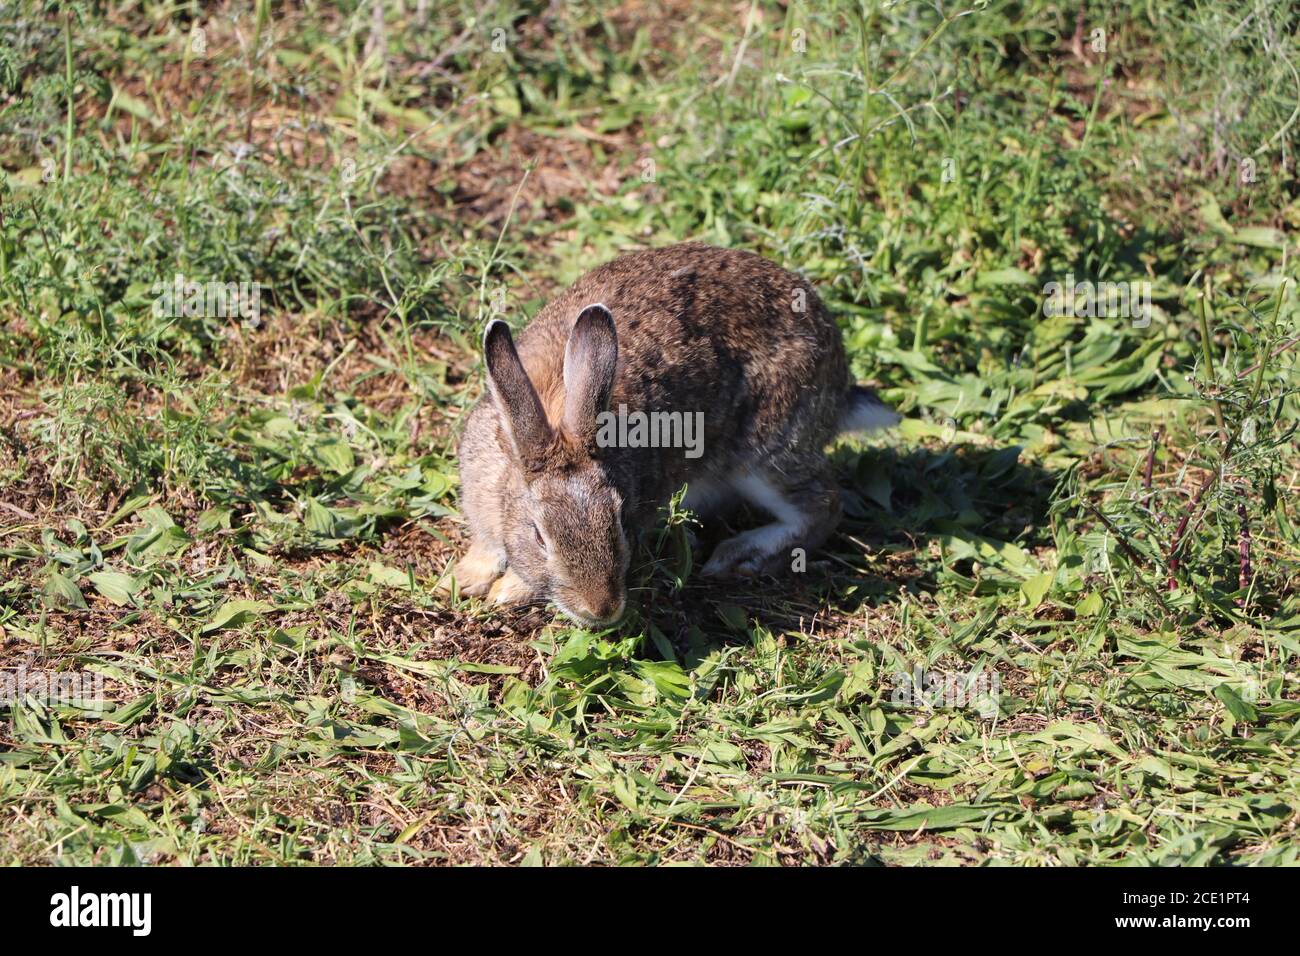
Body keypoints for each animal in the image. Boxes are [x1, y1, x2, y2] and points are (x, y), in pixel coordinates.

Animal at [454, 242, 898, 627]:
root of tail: (839, 388)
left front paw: (507, 590)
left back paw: (741, 555)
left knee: (823, 505)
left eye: (620, 519)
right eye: (538, 536)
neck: (557, 419)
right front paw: (464, 577)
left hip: (765, 450)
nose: (602, 610)